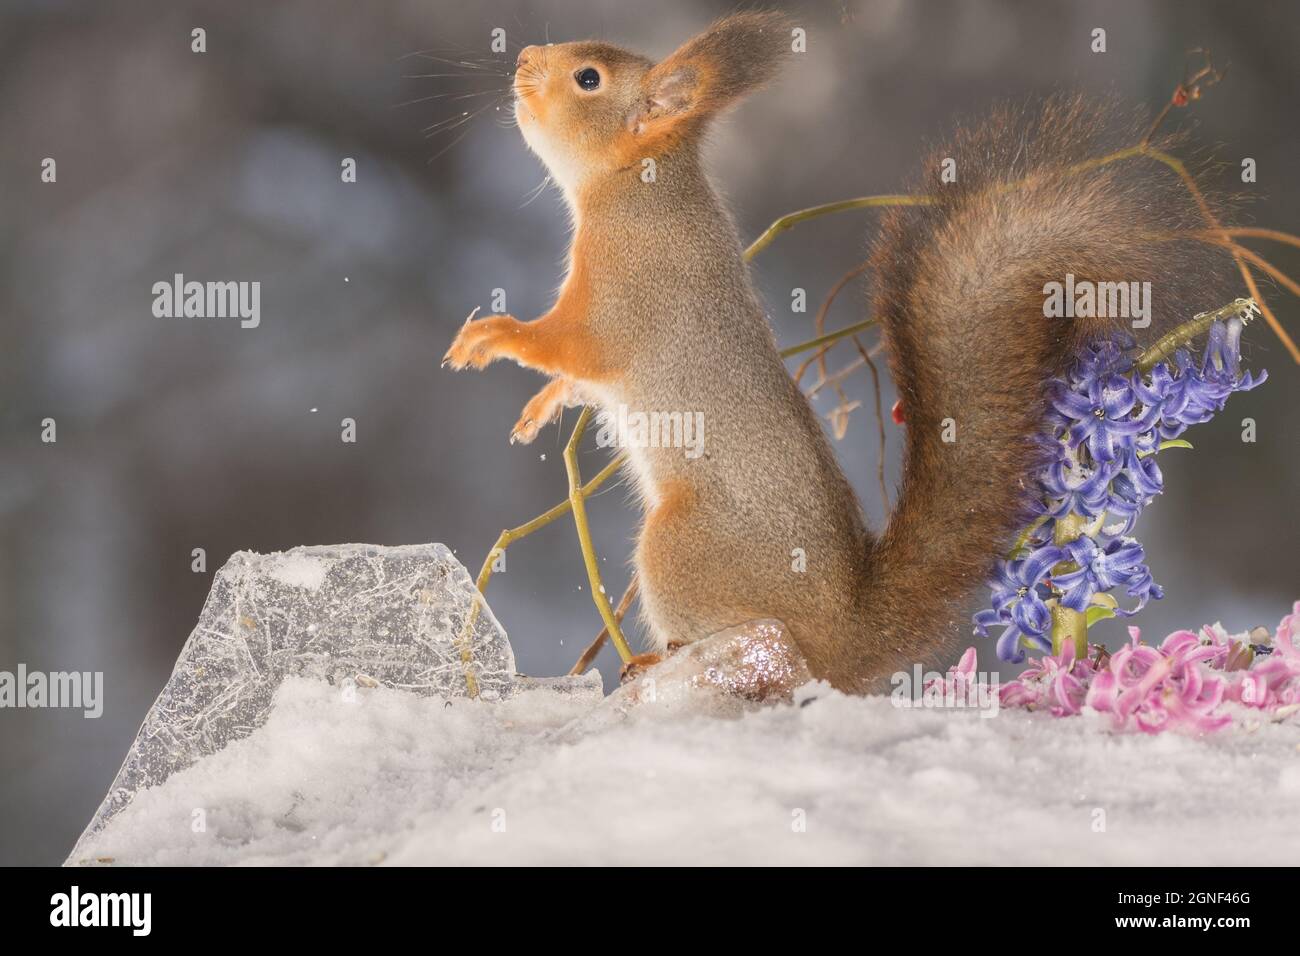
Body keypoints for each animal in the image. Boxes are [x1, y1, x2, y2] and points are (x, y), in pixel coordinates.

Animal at [443, 12, 1238, 692]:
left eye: (588, 79)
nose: (522, 58)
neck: (635, 188)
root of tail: (846, 634)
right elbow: (576, 381)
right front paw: (538, 409)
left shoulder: (622, 295)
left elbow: (572, 346)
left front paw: (494, 336)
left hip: (679, 550)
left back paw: (656, 661)